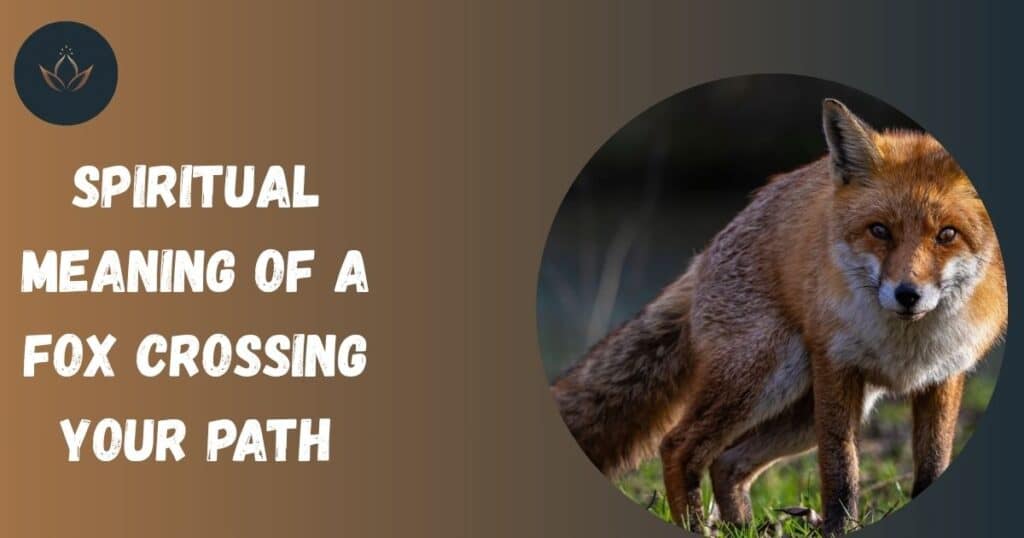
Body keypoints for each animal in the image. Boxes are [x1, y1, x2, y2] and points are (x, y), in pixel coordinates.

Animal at [551, 99, 1007, 535]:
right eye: (879, 230)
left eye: (946, 235)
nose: (907, 295)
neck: (906, 345)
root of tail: (705, 256)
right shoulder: (836, 366)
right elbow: (840, 468)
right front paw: (839, 528)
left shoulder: (944, 375)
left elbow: (932, 464)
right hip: (765, 377)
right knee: (678, 446)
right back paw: (700, 527)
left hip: (802, 409)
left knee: (727, 461)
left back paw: (743, 527)